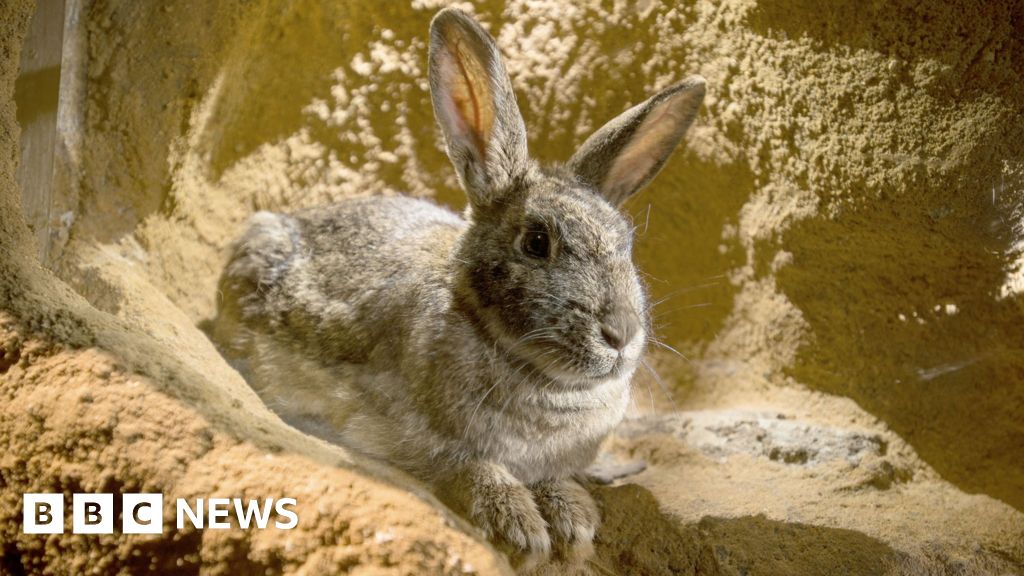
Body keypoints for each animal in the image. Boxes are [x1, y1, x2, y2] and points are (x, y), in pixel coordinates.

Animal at [211, 6, 705, 561]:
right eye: (537, 241)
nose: (621, 334)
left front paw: (572, 519)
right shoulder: (412, 437)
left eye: (627, 243)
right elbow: (470, 466)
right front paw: (522, 527)